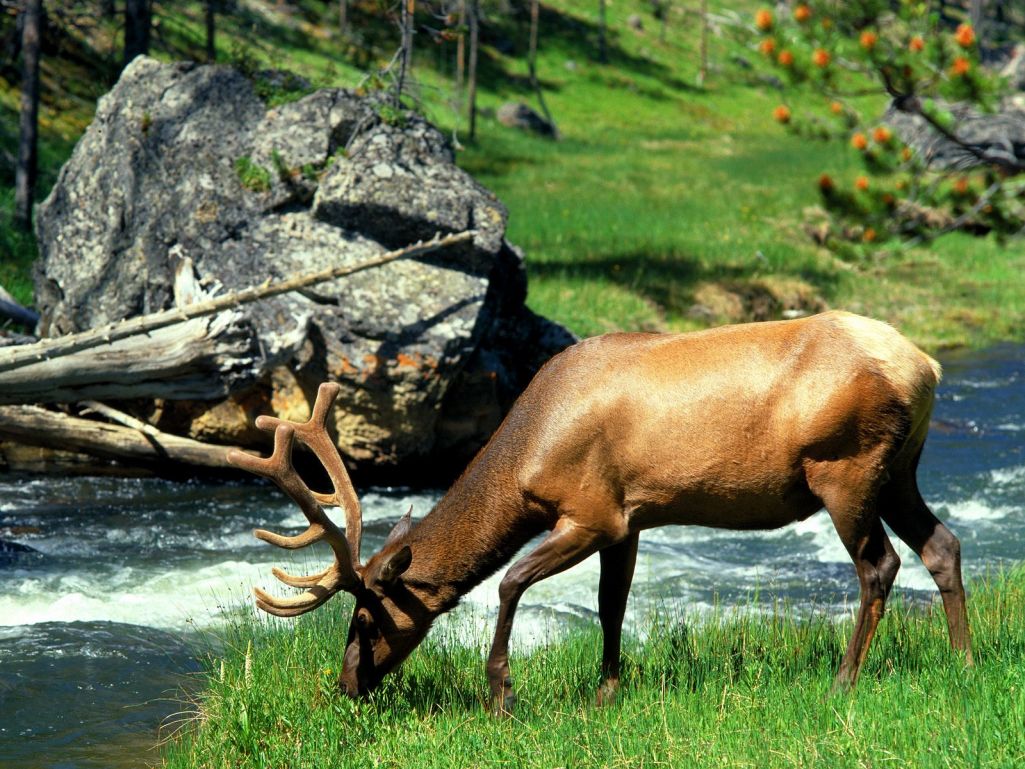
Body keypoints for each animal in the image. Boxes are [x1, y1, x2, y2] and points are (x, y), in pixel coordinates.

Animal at [228, 309, 971, 713]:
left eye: (364, 616)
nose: (347, 684)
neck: (527, 457)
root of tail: (926, 366)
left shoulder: (591, 511)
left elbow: (509, 582)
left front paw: (500, 694)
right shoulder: (631, 517)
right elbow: (613, 604)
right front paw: (606, 691)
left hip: (846, 467)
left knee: (879, 565)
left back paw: (844, 680)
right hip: (898, 470)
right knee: (942, 544)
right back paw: (964, 658)